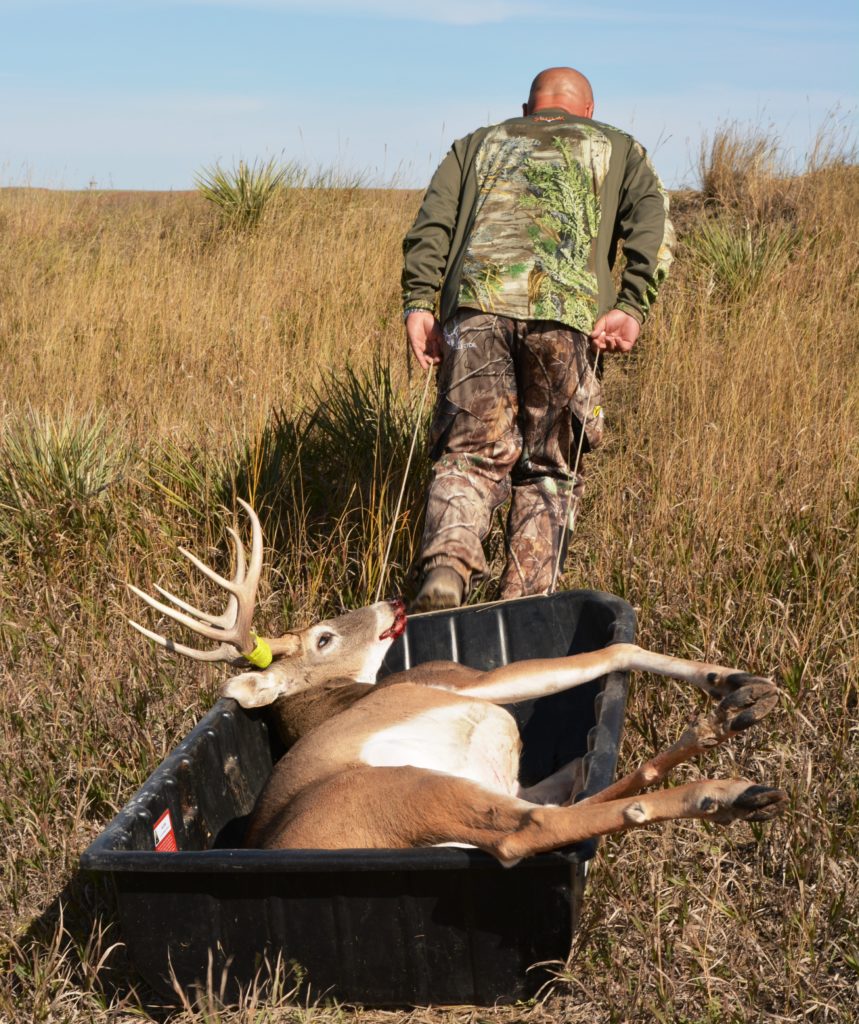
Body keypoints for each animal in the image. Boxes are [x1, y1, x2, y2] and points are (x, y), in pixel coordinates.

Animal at [129, 501, 787, 866]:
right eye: (323, 637)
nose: (393, 601)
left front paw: (737, 694)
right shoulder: (464, 682)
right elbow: (613, 649)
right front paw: (734, 678)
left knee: (576, 790)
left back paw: (720, 732)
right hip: (412, 790)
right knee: (534, 830)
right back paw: (731, 790)